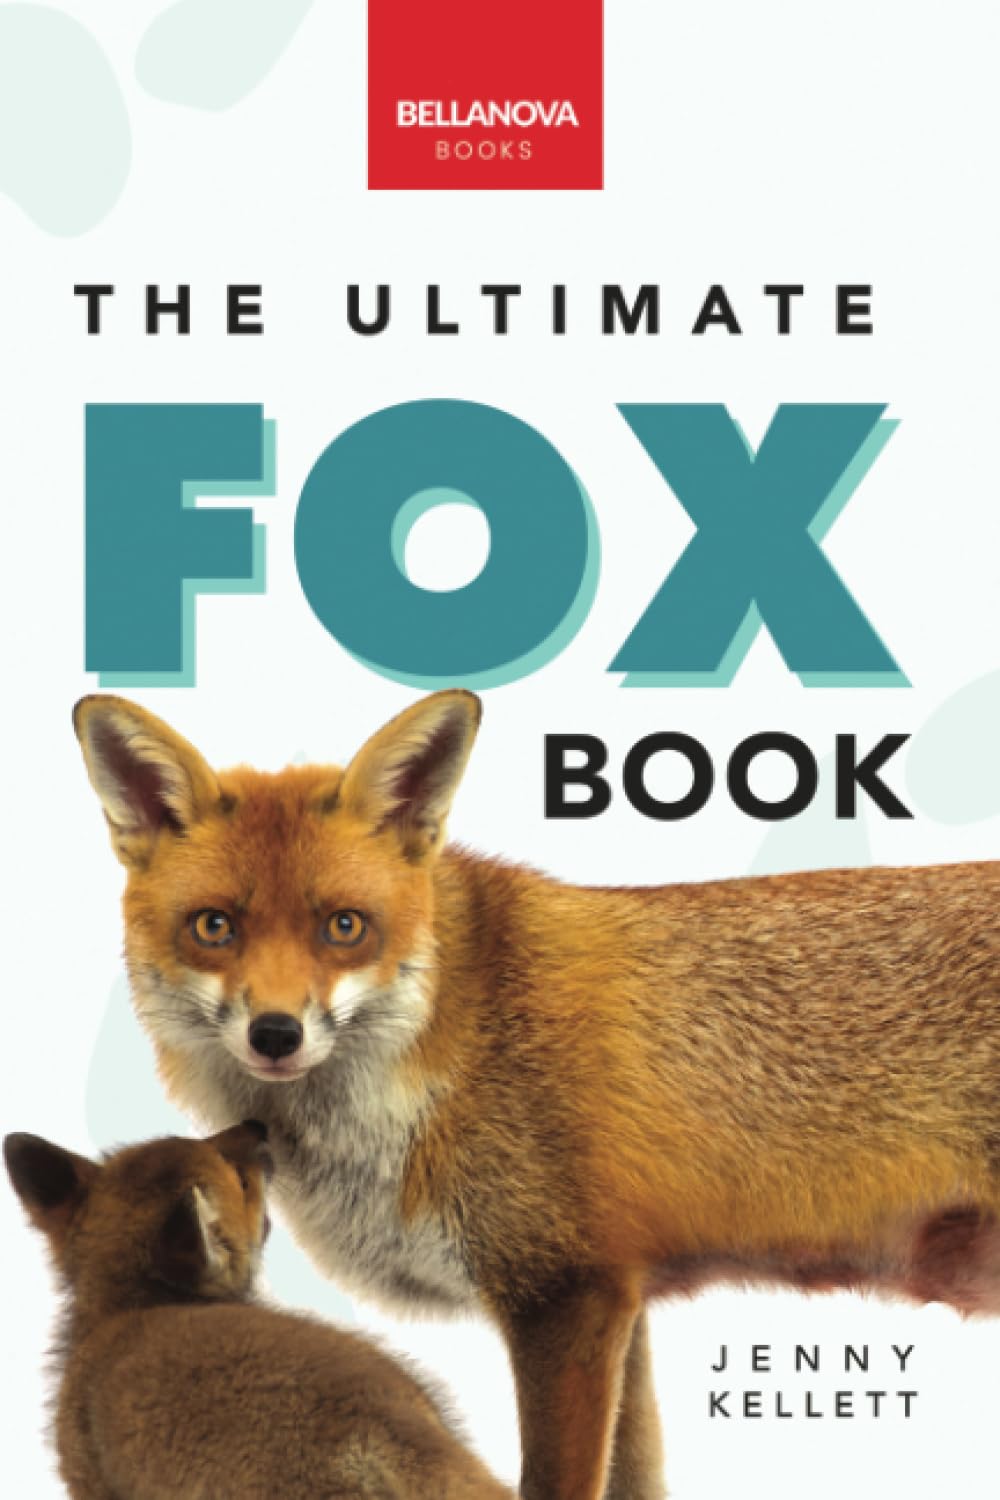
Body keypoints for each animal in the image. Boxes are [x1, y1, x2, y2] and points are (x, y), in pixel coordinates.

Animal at [72, 690, 1000, 1500]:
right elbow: (637, 1478)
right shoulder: (621, 1298)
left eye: (344, 927)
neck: (447, 1049)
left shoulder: (565, 1295)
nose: (275, 1034)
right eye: (214, 927)